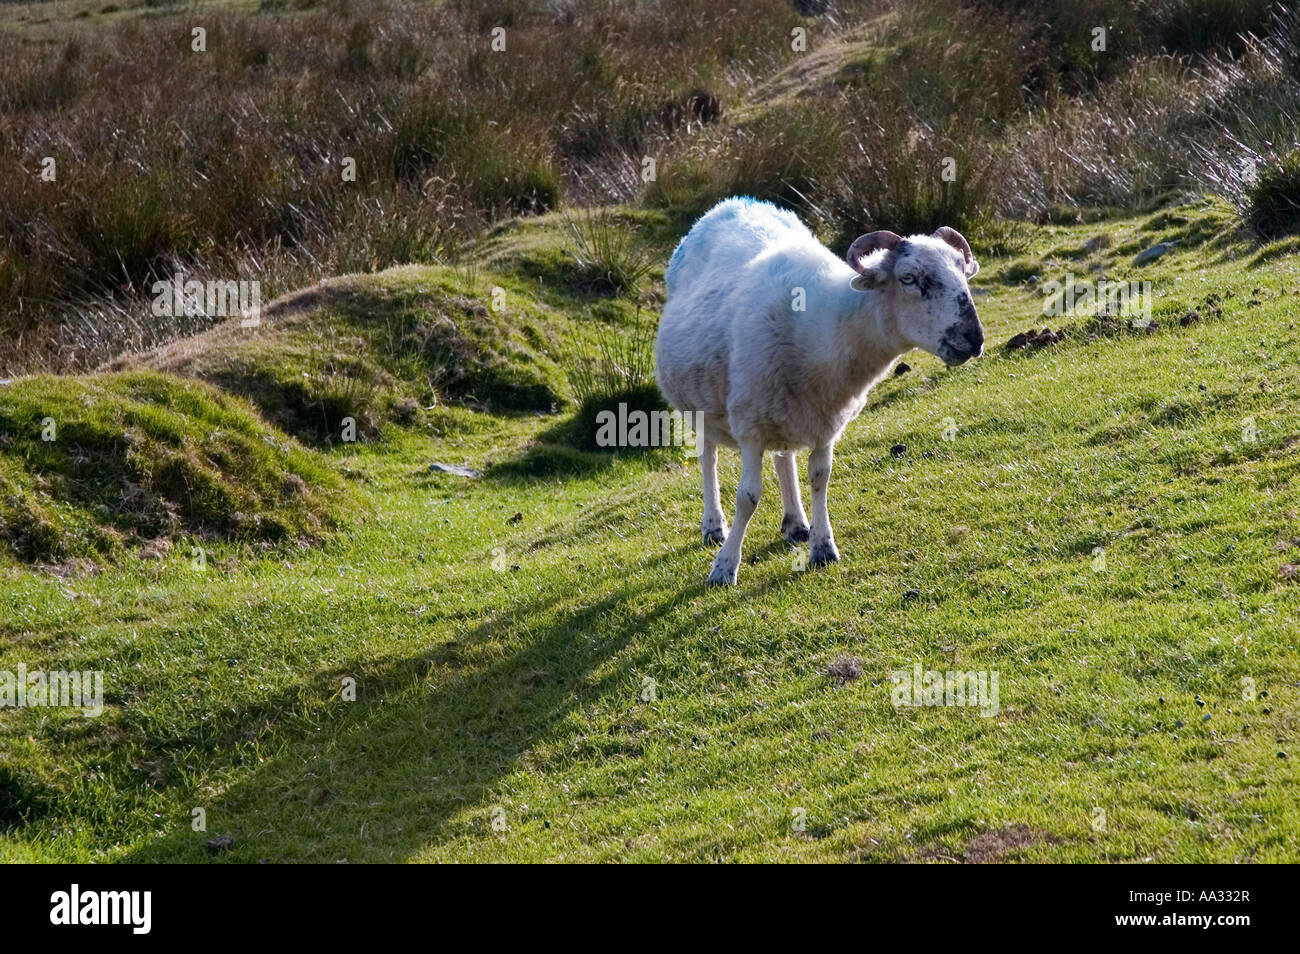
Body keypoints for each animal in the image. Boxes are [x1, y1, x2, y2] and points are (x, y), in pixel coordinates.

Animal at [654, 196, 984, 586]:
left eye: (963, 273)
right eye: (909, 278)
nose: (974, 338)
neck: (826, 328)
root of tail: (732, 203)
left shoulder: (827, 423)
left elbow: (819, 478)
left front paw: (823, 547)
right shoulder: (750, 426)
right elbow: (748, 497)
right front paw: (724, 567)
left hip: (786, 411)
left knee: (783, 457)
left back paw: (796, 523)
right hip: (701, 408)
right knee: (709, 459)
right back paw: (713, 526)